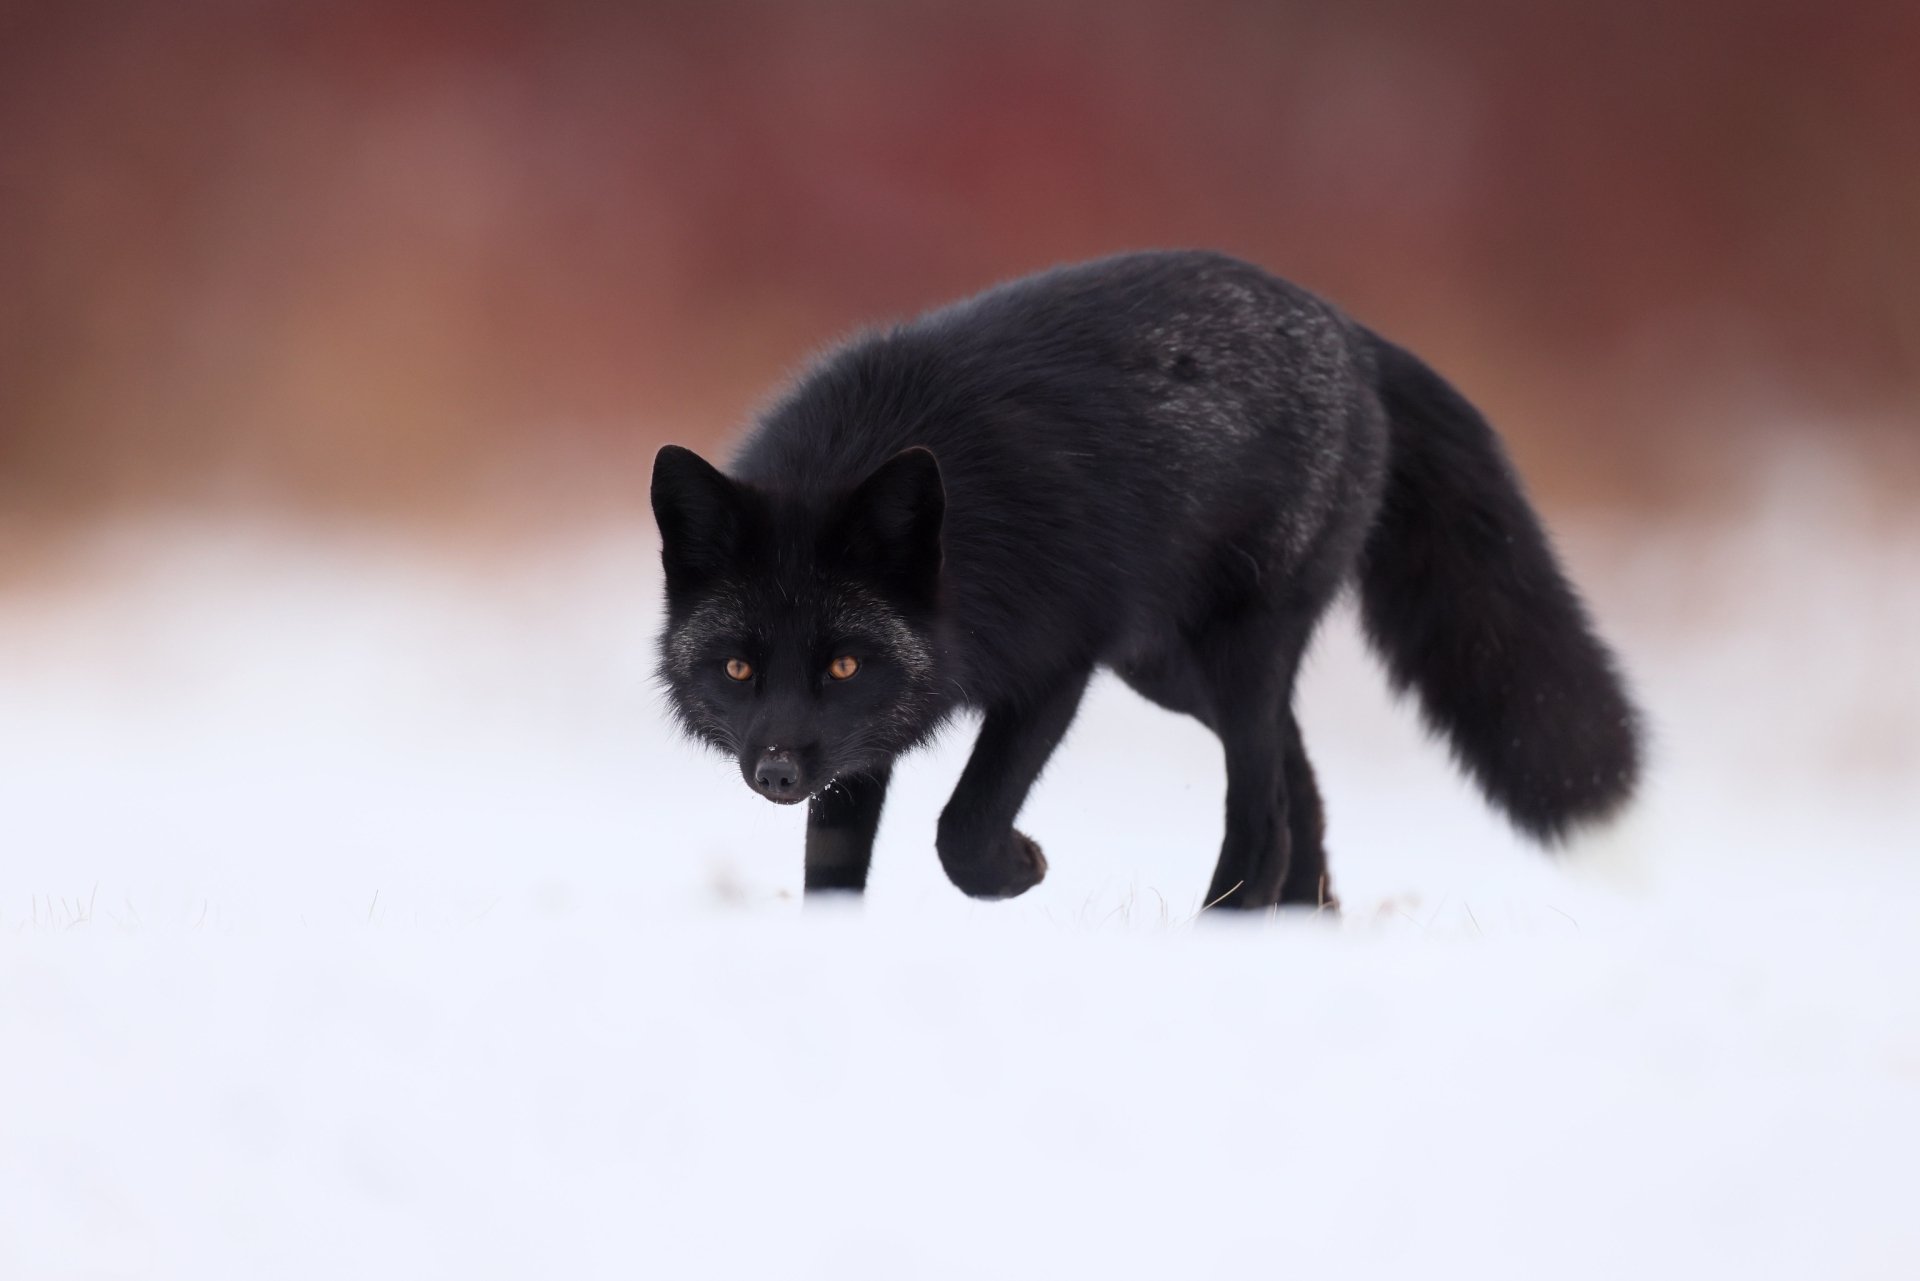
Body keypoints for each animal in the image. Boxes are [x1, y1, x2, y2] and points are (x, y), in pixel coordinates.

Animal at [650, 250, 1641, 909]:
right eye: (737, 668)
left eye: (844, 664)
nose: (777, 770)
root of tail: (1352, 331)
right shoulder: (866, 740)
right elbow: (831, 872)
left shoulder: (1054, 664)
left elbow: (962, 830)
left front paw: (1018, 867)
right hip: (1167, 668)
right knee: (1296, 778)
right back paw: (1301, 919)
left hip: (1236, 647)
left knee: (1262, 806)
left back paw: (1228, 925)